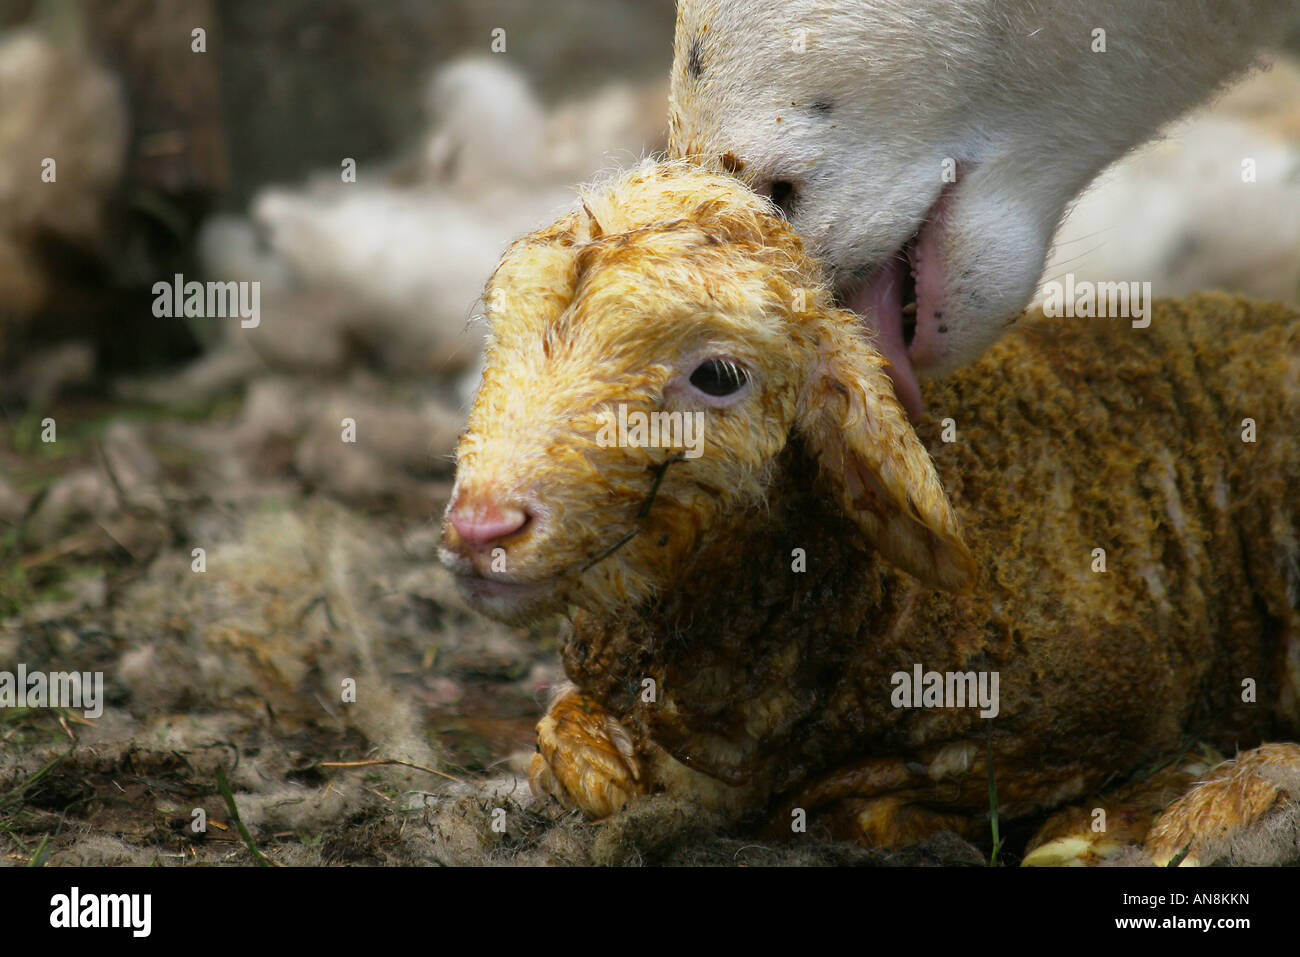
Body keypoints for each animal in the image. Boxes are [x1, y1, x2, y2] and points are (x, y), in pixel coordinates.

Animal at [439, 160, 1300, 865]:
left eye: (719, 375)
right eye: (499, 337)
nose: (483, 528)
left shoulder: (1114, 699)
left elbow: (854, 810)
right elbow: (572, 751)